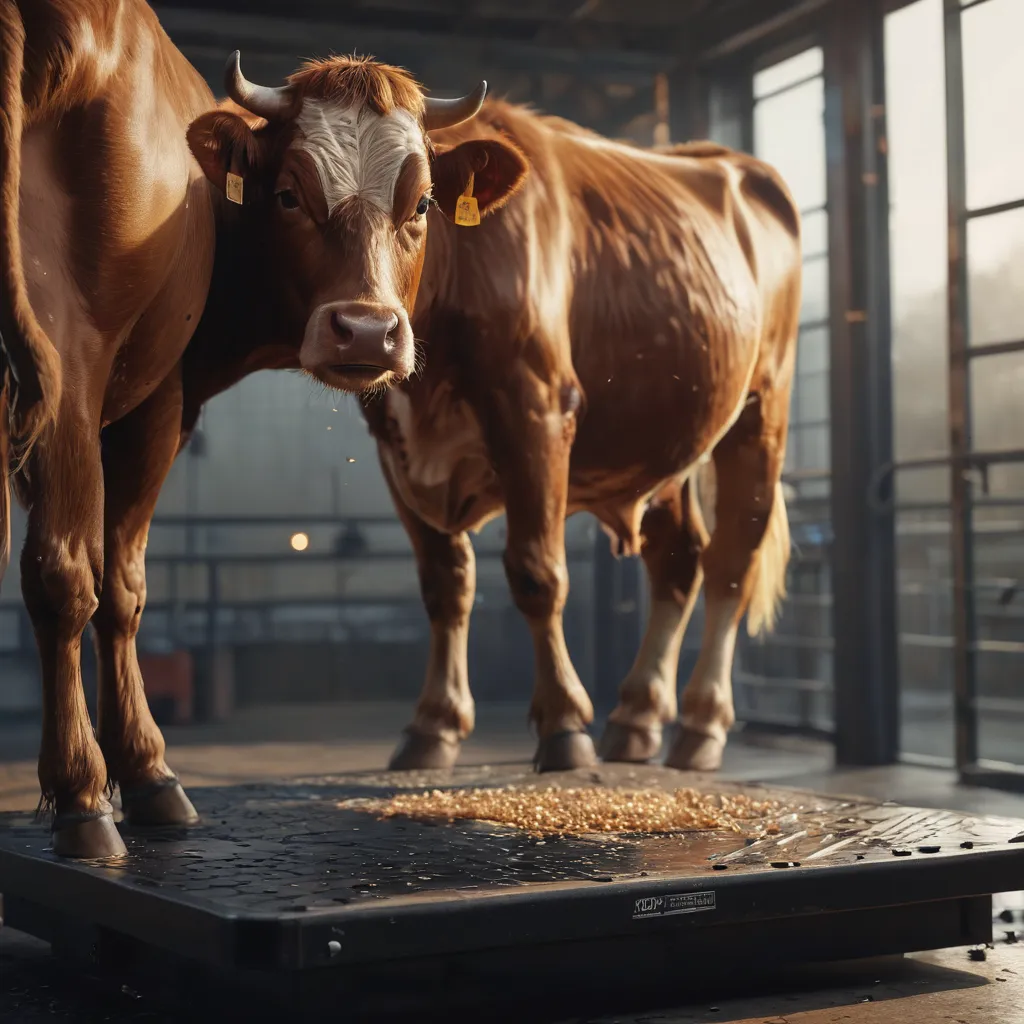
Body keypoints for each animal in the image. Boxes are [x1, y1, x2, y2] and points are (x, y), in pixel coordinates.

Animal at [0, 0, 524, 858]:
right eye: (287, 195)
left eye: (419, 205)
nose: (367, 330)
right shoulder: (156, 402)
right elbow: (120, 584)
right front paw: (142, 775)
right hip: (67, 363)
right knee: (65, 572)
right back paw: (80, 795)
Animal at [359, 105, 801, 775]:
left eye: (421, 202)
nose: (364, 325)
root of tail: (733, 160)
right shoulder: (392, 442)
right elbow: (444, 582)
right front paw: (432, 726)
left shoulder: (536, 410)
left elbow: (536, 572)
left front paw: (564, 726)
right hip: (665, 434)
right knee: (678, 560)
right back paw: (637, 716)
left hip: (762, 408)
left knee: (732, 559)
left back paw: (700, 724)